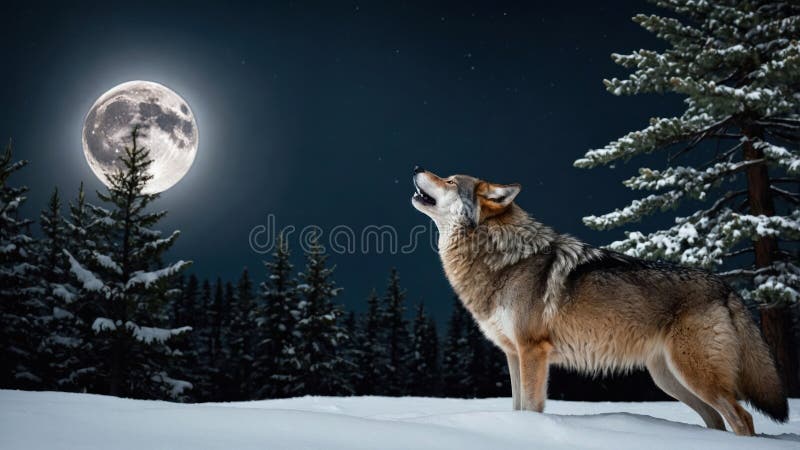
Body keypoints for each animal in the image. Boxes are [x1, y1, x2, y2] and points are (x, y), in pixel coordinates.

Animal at [410, 166, 788, 436]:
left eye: (448, 179)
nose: (416, 167)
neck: (505, 258)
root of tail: (726, 287)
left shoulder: (533, 351)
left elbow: (531, 408)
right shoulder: (513, 354)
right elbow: (517, 408)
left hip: (695, 376)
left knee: (743, 420)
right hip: (669, 379)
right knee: (717, 421)